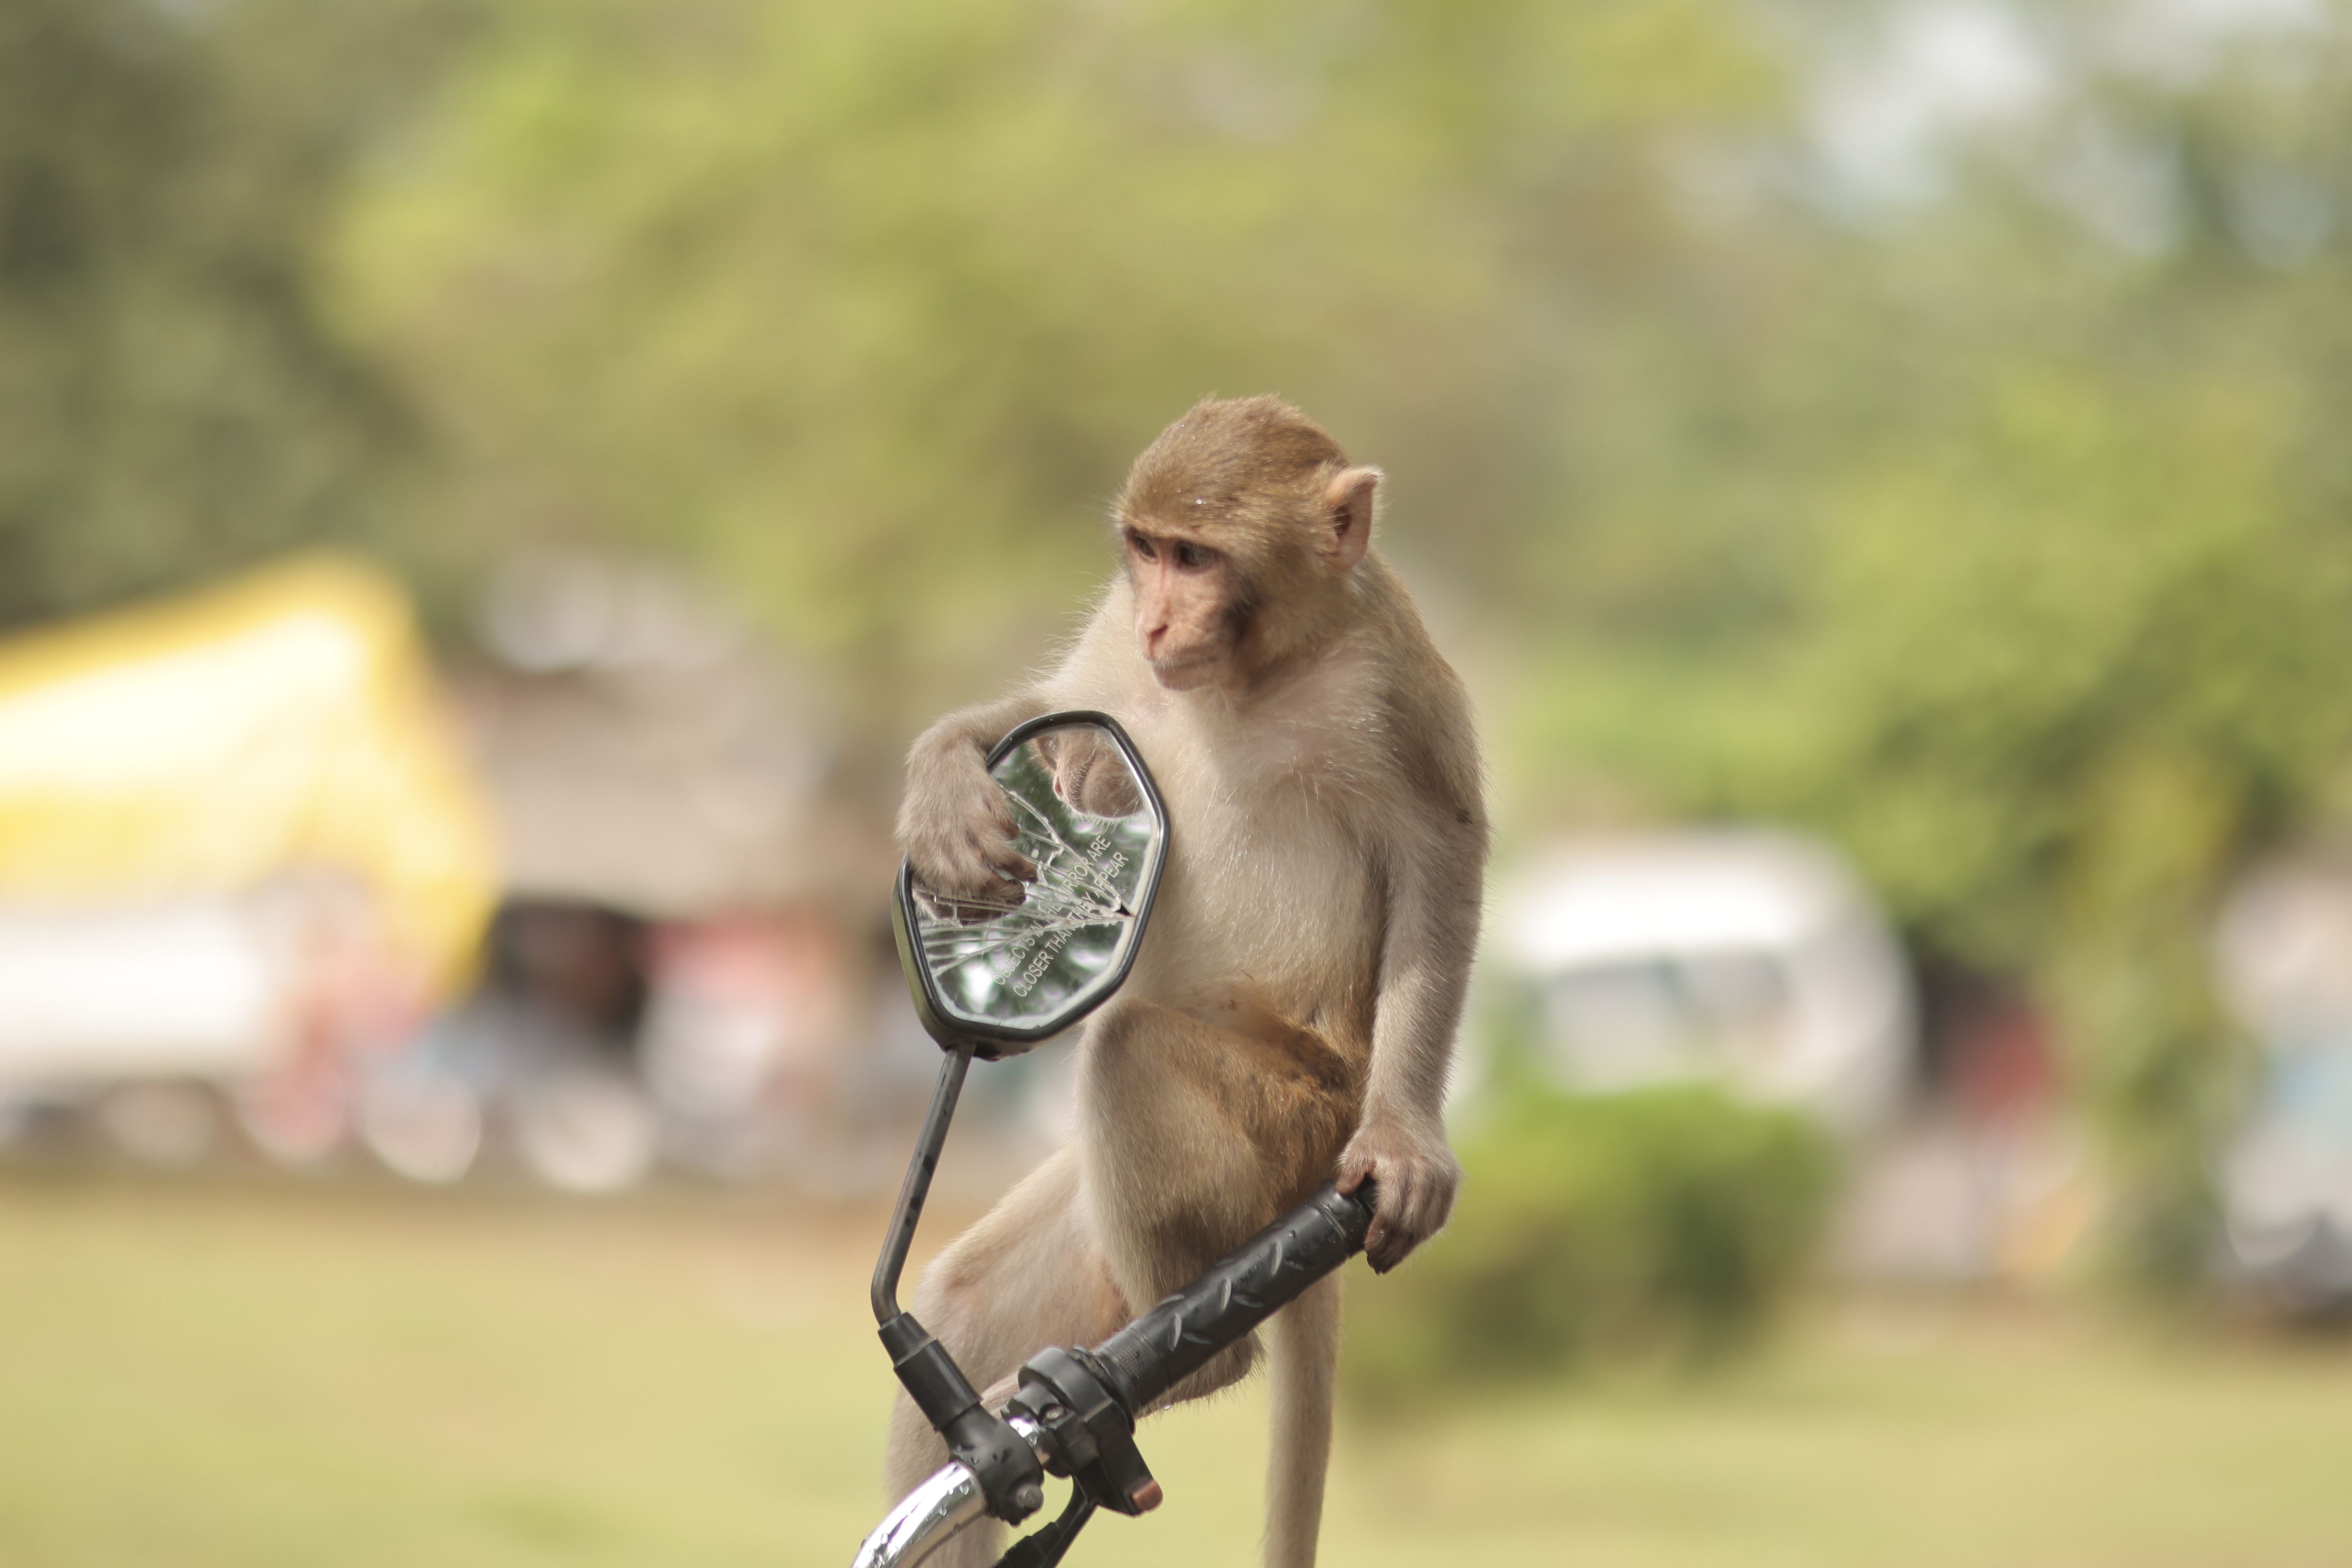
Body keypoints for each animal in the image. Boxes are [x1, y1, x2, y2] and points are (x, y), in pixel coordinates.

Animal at [887, 395, 1487, 1568]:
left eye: (1199, 556)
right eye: (1149, 551)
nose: (1163, 622)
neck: (1258, 667)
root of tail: (1302, 1187)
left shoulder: (1390, 685)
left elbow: (1441, 859)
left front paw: (1409, 1143)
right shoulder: (1116, 645)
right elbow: (1059, 704)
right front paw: (947, 783)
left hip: (1293, 1118)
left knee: (1128, 1051)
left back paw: (1205, 1360)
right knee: (966, 1298)